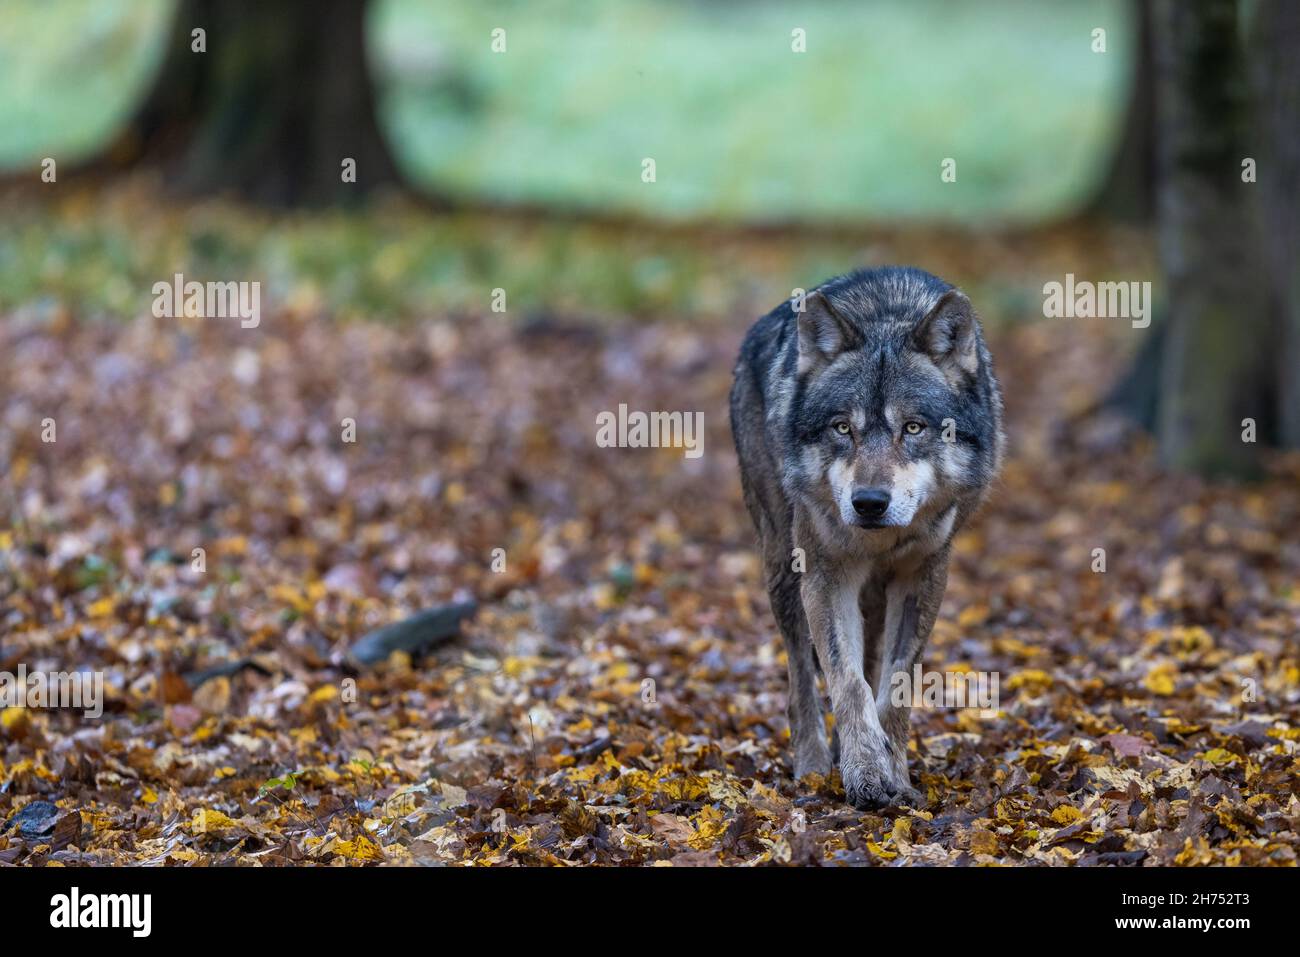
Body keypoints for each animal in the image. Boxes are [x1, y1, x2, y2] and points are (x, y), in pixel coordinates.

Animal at [729, 267, 1003, 809]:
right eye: (843, 428)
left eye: (913, 428)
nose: (870, 503)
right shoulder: (825, 575)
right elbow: (848, 682)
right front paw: (866, 776)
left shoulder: (924, 575)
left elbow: (893, 685)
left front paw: (894, 774)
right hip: (783, 570)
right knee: (801, 679)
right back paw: (815, 765)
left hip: (873, 595)